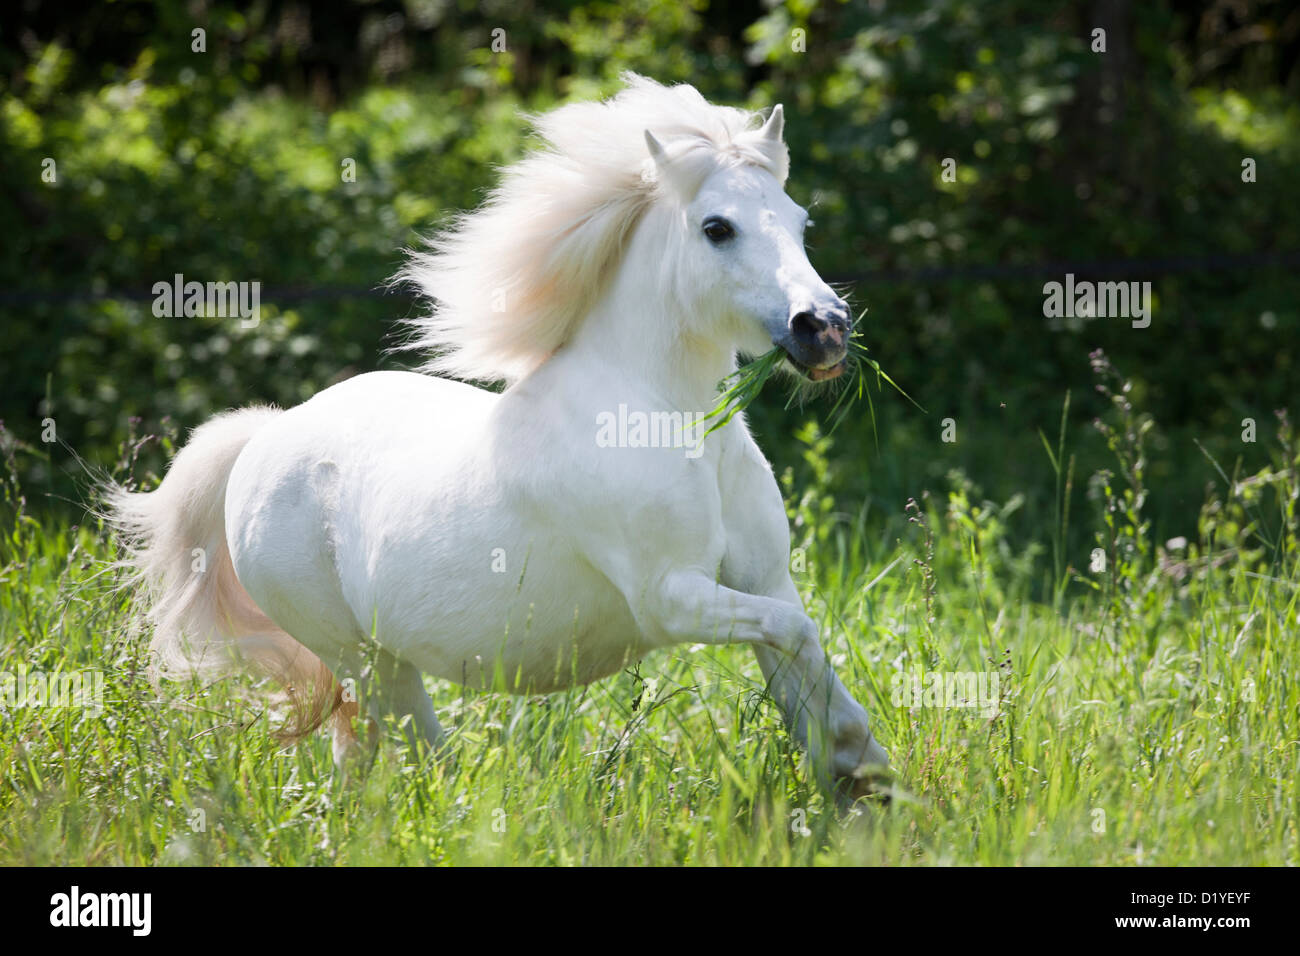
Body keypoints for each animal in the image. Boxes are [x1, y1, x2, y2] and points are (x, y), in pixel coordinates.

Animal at [106, 73, 891, 799]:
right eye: (718, 227)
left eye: (798, 221)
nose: (823, 328)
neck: (667, 418)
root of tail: (265, 439)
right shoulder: (670, 598)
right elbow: (799, 640)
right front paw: (860, 766)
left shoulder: (763, 581)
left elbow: (801, 661)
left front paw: (857, 780)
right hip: (366, 655)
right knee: (419, 752)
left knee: (361, 757)